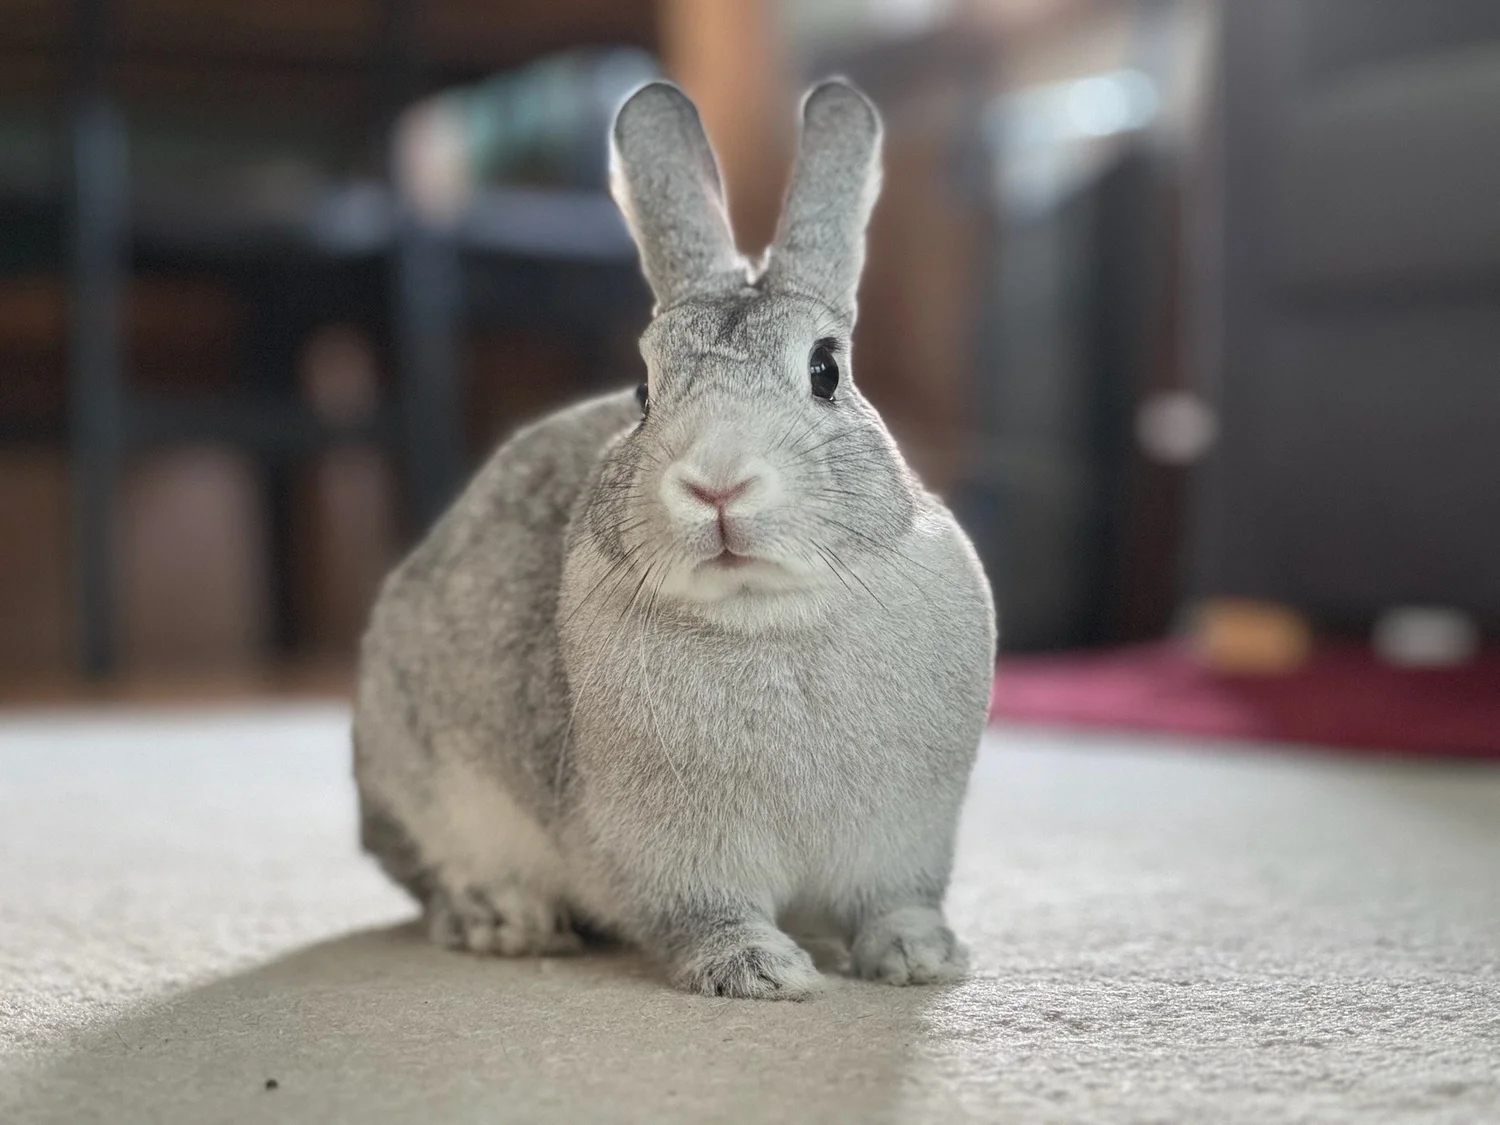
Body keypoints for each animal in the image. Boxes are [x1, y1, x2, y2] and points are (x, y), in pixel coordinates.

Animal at [354, 78, 996, 999]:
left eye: (826, 370)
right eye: (643, 389)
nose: (716, 482)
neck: (763, 614)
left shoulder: (907, 836)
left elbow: (896, 901)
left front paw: (922, 959)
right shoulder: (674, 856)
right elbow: (706, 915)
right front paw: (763, 972)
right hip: (421, 781)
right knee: (432, 882)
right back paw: (504, 919)